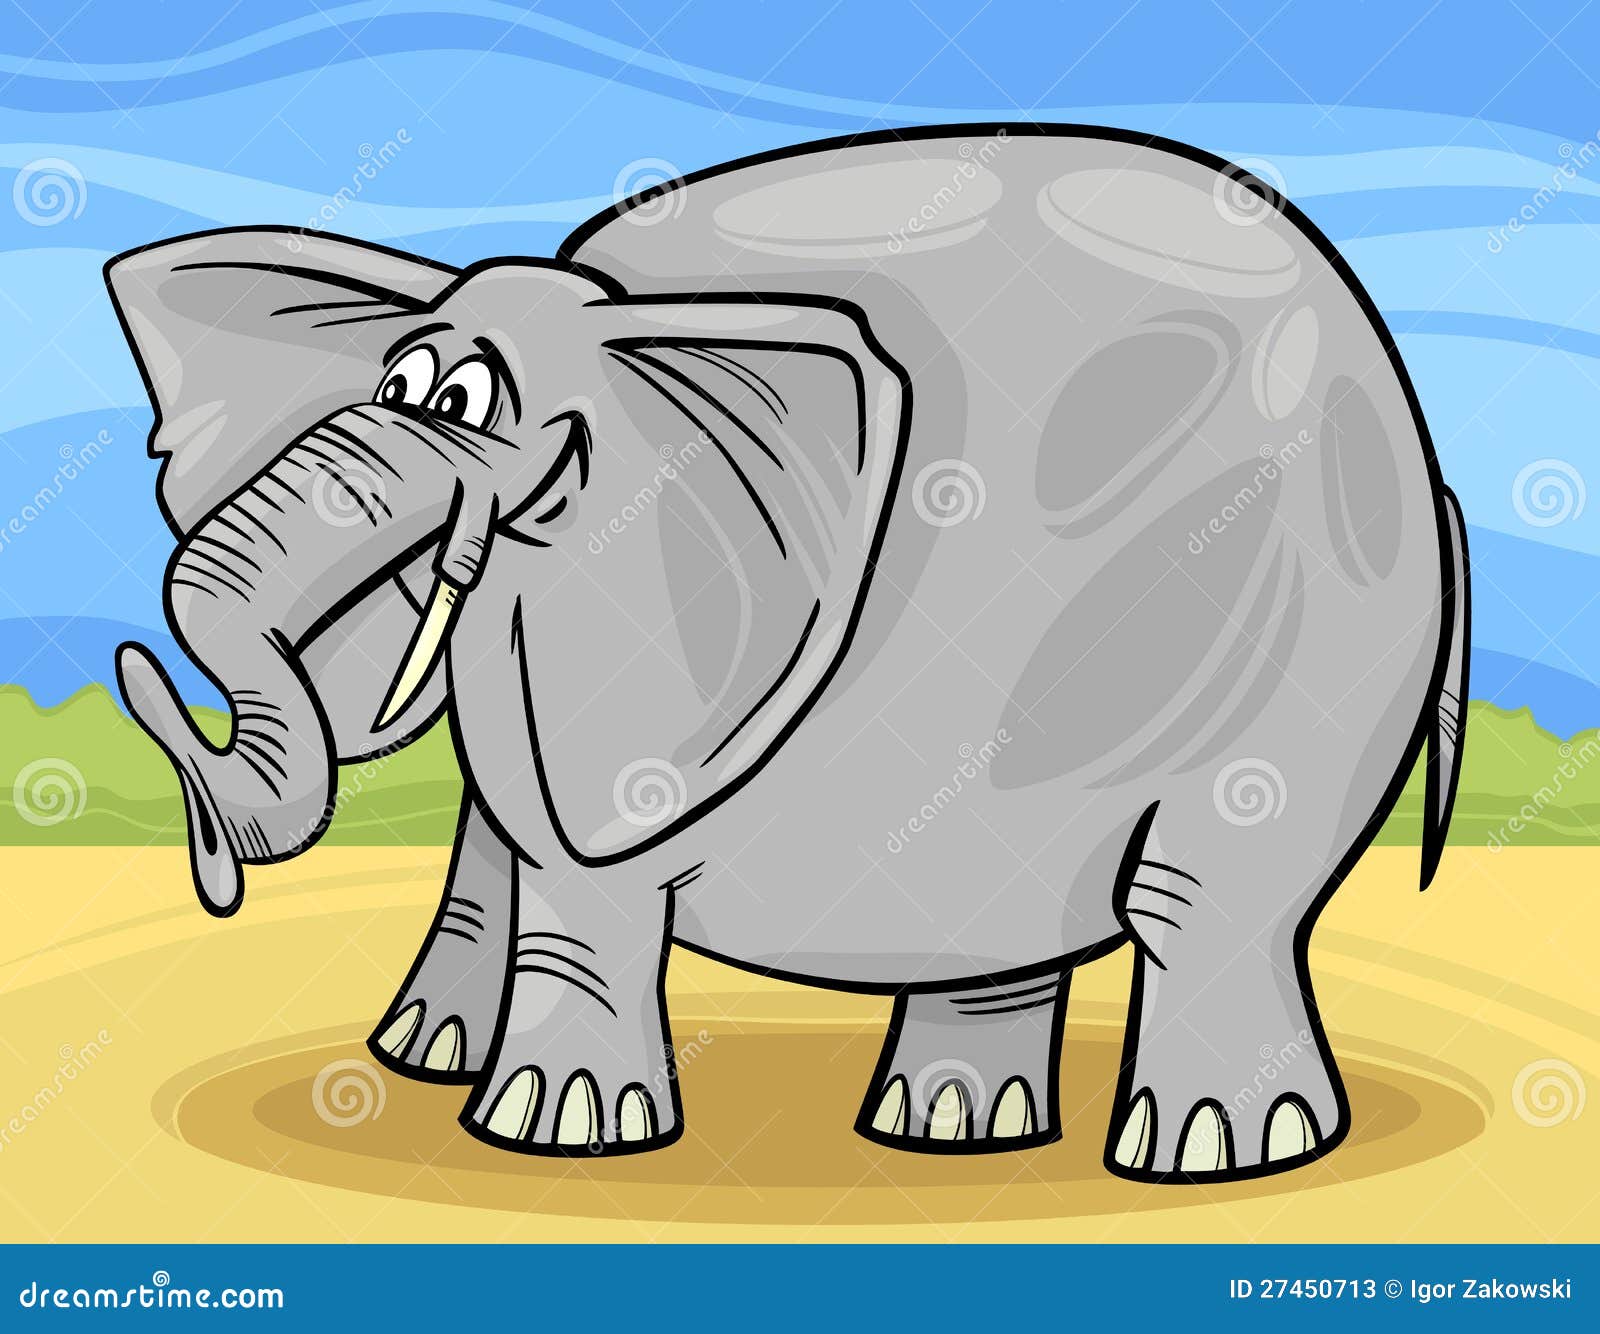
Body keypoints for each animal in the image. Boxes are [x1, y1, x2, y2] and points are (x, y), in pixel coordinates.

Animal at [107, 124, 1469, 1179]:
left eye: (460, 405)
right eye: (394, 381)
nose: (134, 672)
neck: (618, 331)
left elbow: (584, 856)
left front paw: (553, 1132)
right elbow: (533, 828)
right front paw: (512, 1102)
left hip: (1312, 648)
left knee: (1214, 884)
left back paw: (1212, 1151)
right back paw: (949, 1127)